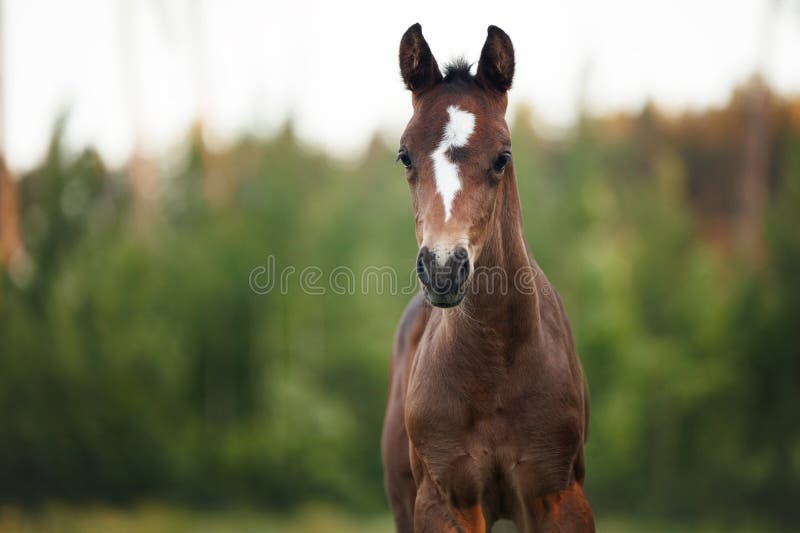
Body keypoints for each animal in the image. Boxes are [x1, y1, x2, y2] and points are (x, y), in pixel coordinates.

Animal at [381, 24, 595, 532]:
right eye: (404, 156)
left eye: (502, 157)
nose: (443, 269)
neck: (494, 367)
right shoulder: (444, 500)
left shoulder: (559, 494)